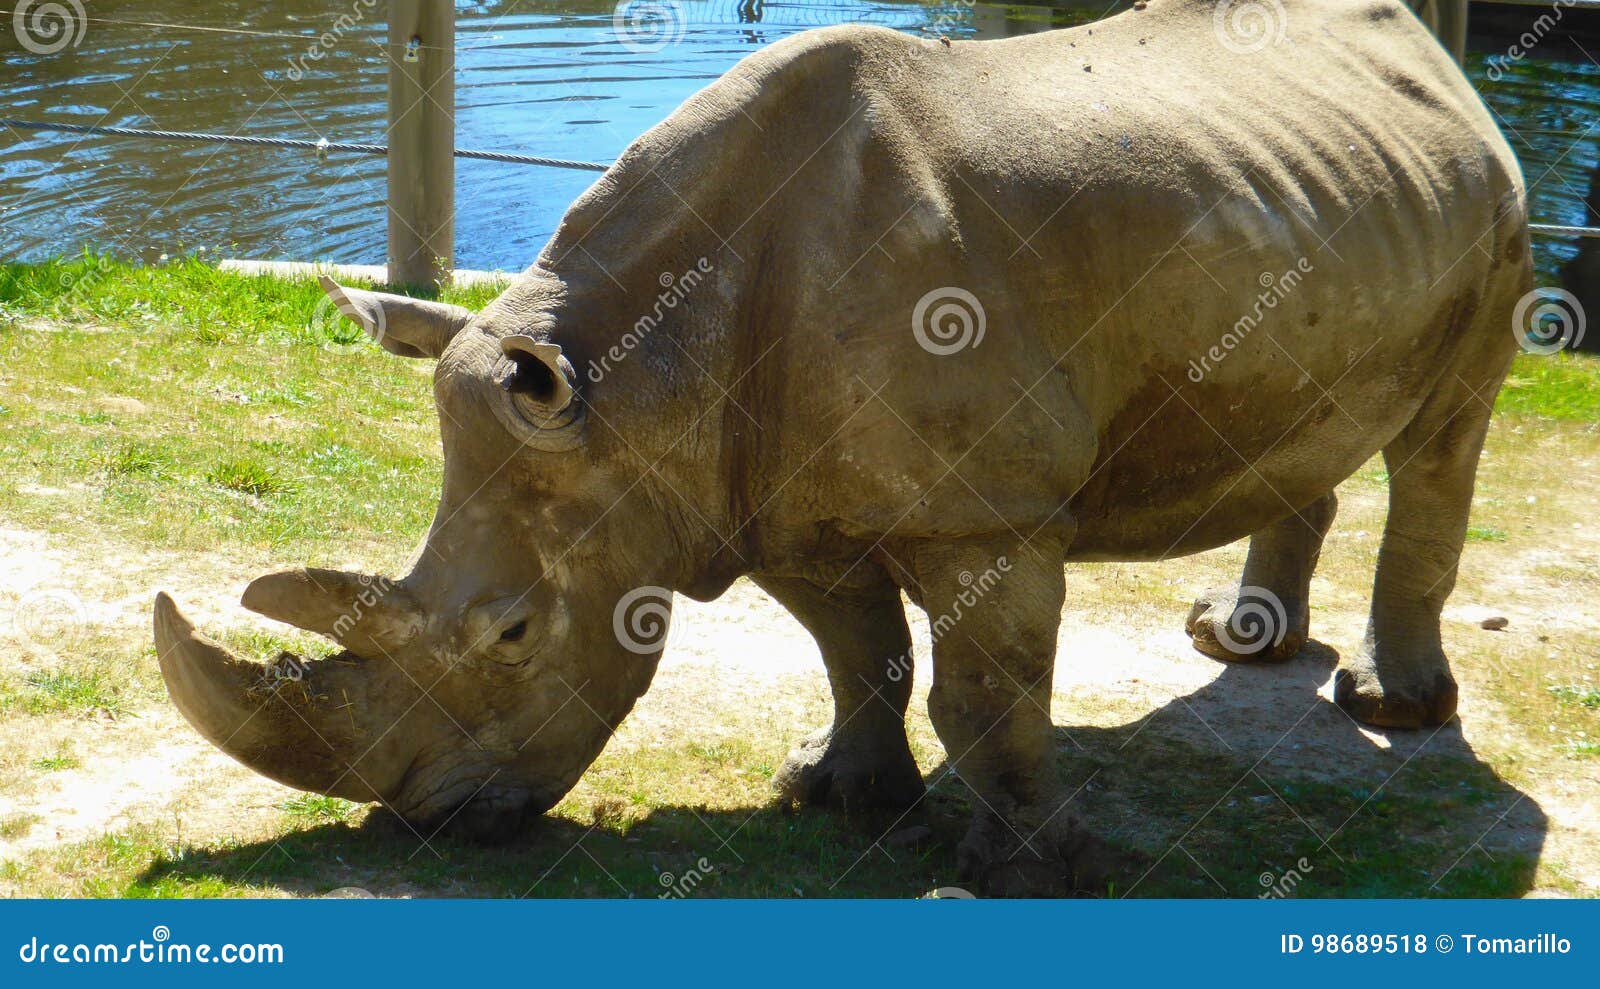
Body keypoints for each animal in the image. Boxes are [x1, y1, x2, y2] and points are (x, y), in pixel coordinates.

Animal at [154, 0, 1530, 895]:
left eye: (512, 634)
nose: (423, 824)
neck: (633, 385)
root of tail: (1433, 53)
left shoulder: (987, 509)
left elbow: (983, 689)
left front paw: (1032, 871)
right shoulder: (751, 488)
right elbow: (850, 645)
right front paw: (835, 795)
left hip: (1492, 208)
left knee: (1441, 439)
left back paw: (1393, 709)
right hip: (1323, 190)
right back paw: (1240, 646)